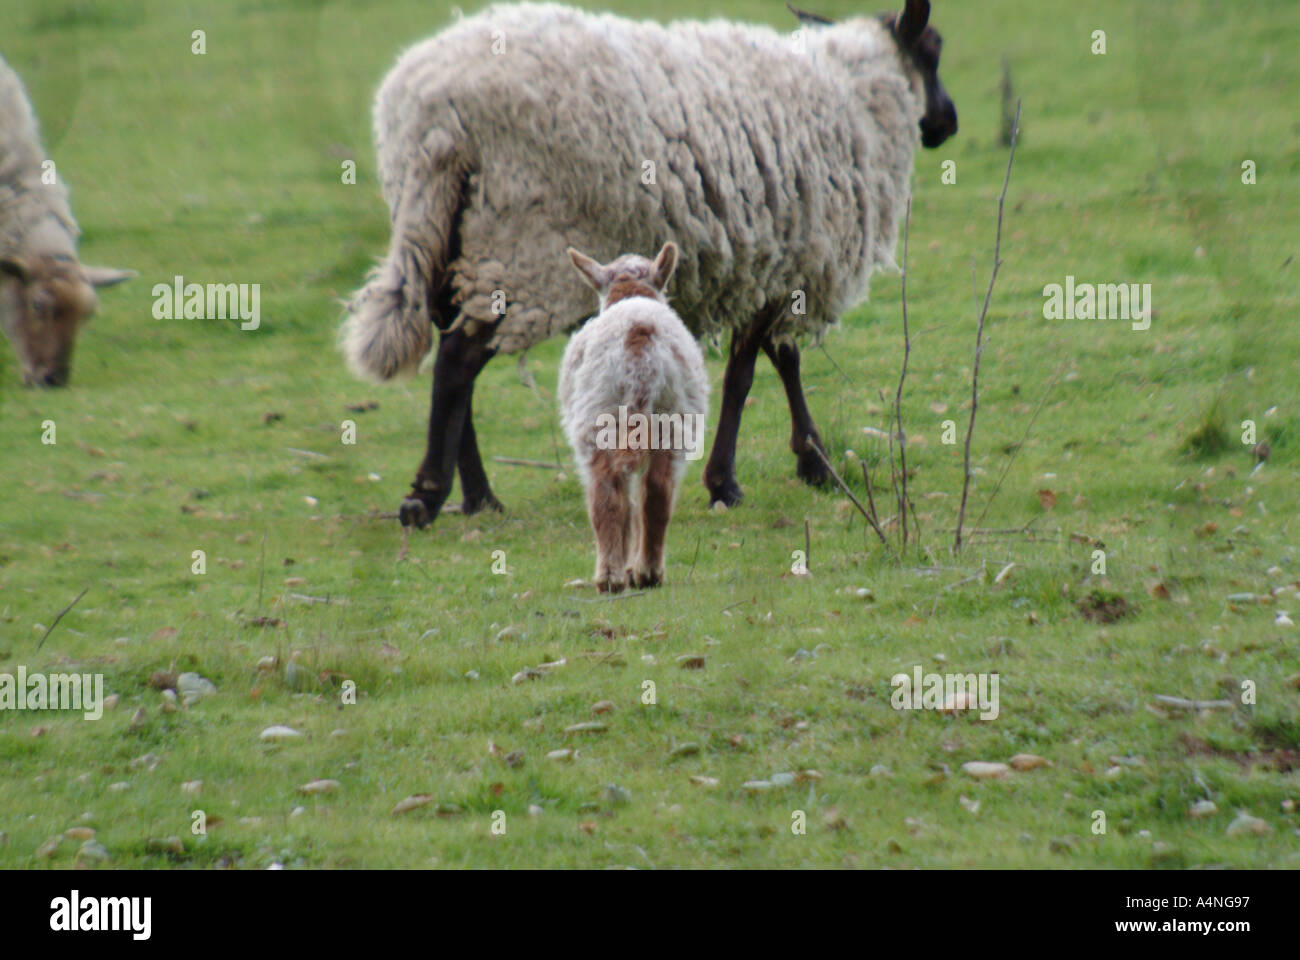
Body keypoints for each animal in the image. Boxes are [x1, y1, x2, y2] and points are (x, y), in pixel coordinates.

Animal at [342, 0, 957, 528]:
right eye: (933, 49)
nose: (947, 123)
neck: (860, 98)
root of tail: (430, 122)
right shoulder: (789, 262)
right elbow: (749, 373)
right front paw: (738, 480)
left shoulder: (772, 262)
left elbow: (777, 361)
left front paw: (807, 462)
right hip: (520, 243)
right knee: (457, 361)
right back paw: (430, 495)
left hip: (449, 234)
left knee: (453, 351)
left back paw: (478, 497)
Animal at [559, 242, 708, 593]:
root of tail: (638, 336)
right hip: (672, 415)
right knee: (657, 490)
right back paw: (648, 573)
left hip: (598, 412)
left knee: (607, 492)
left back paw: (610, 577)